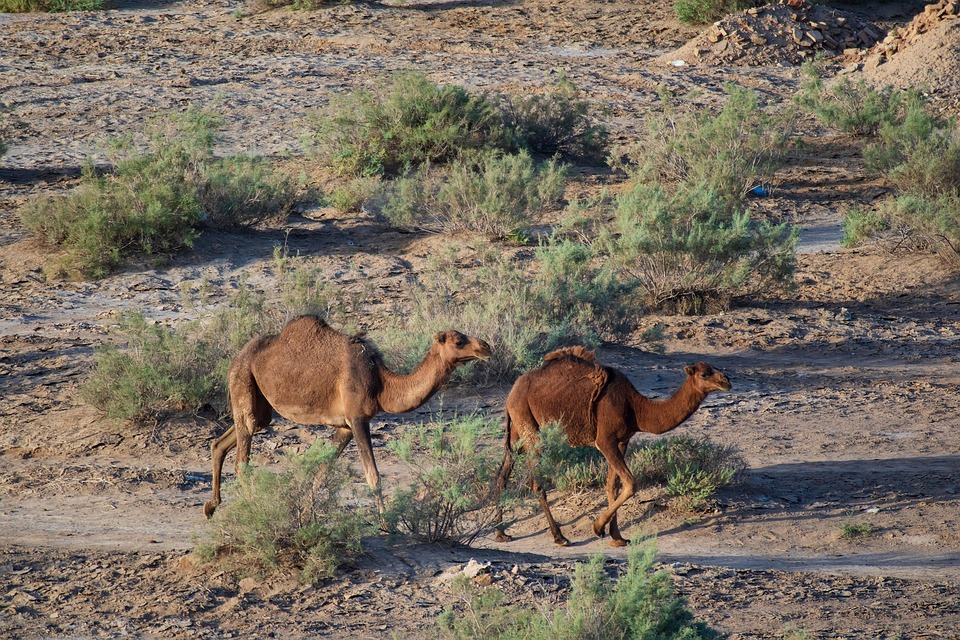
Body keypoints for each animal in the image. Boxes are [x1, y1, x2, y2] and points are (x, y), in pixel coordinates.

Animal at [203, 315, 491, 518]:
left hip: (261, 405)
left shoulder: (345, 425)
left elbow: (321, 473)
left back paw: (211, 506)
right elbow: (373, 477)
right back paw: (254, 508)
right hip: (243, 378)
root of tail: (237, 356)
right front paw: (388, 526)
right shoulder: (358, 418)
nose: (486, 347)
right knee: (243, 457)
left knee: (224, 440)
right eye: (459, 341)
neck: (381, 383)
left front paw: (307, 516)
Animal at [493, 347, 731, 547]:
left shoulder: (622, 440)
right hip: (530, 426)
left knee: (502, 475)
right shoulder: (605, 440)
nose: (727, 380)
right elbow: (631, 483)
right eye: (704, 374)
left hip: (516, 431)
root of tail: (511, 392)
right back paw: (559, 537)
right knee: (536, 482)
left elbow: (613, 485)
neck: (636, 408)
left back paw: (501, 533)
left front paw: (617, 537)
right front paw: (598, 528)